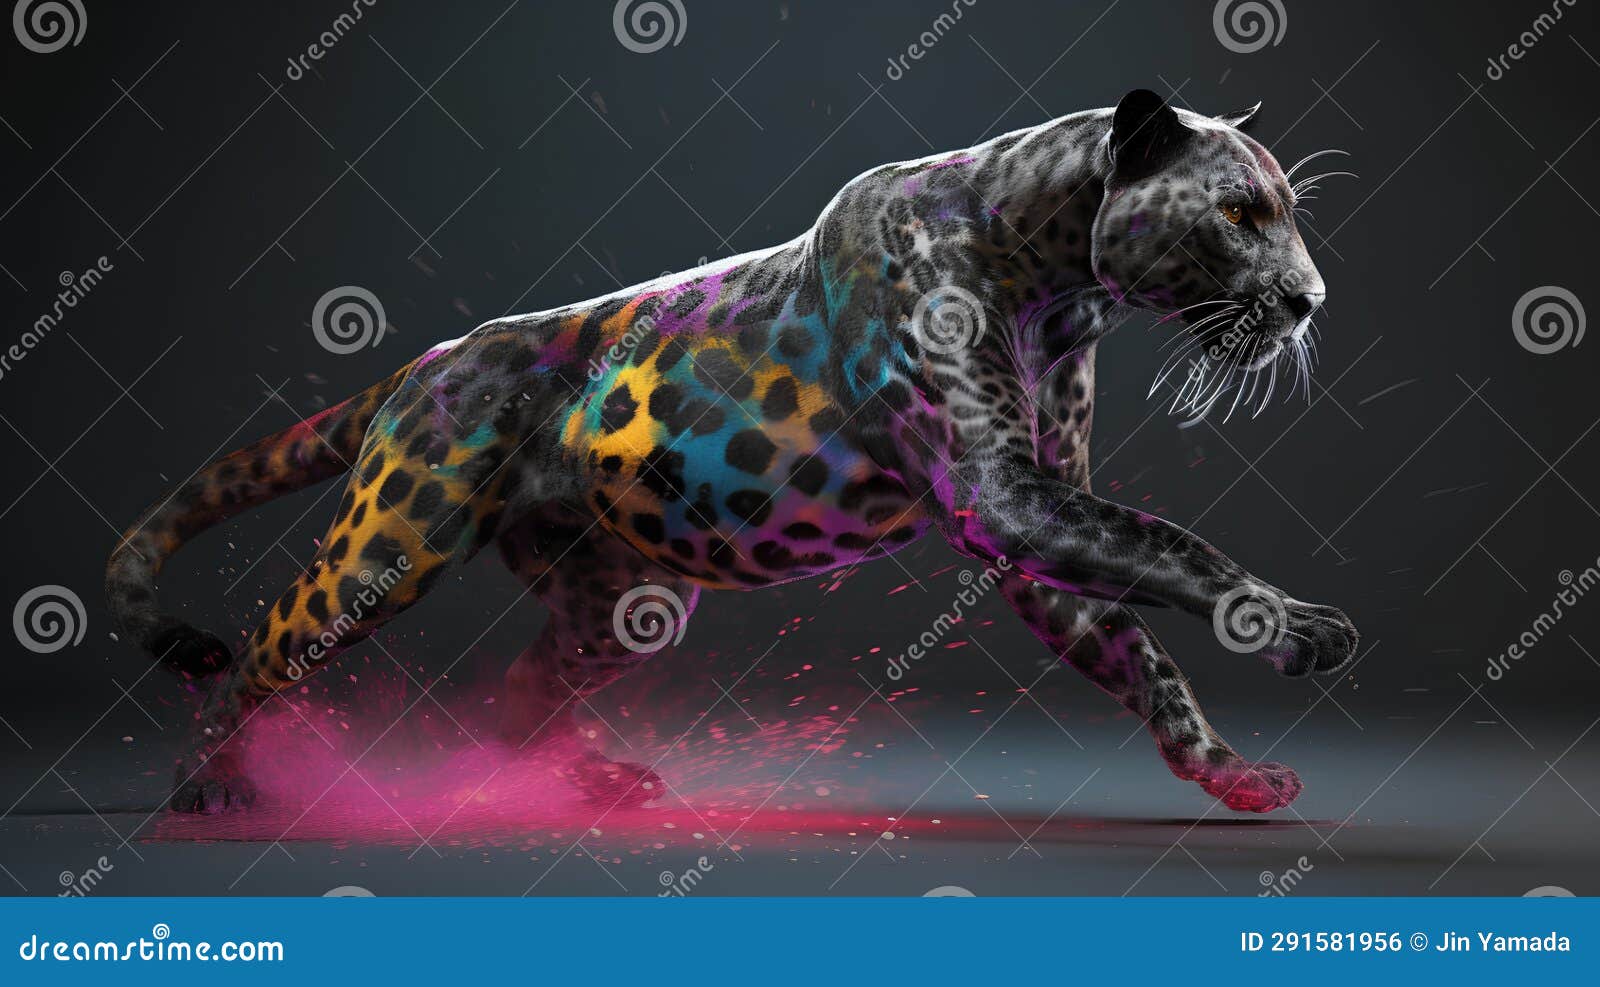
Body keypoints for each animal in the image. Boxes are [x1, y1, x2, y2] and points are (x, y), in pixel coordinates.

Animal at [106, 89, 1358, 816]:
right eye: (1239, 213)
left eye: (1284, 212)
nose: (1309, 301)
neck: (1060, 282)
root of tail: (426, 359)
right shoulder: (1004, 493)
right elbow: (1171, 543)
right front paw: (1296, 626)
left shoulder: (1035, 521)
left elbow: (1142, 651)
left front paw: (1228, 771)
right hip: (388, 550)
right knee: (267, 646)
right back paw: (209, 784)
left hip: (628, 604)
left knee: (520, 687)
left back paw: (581, 787)